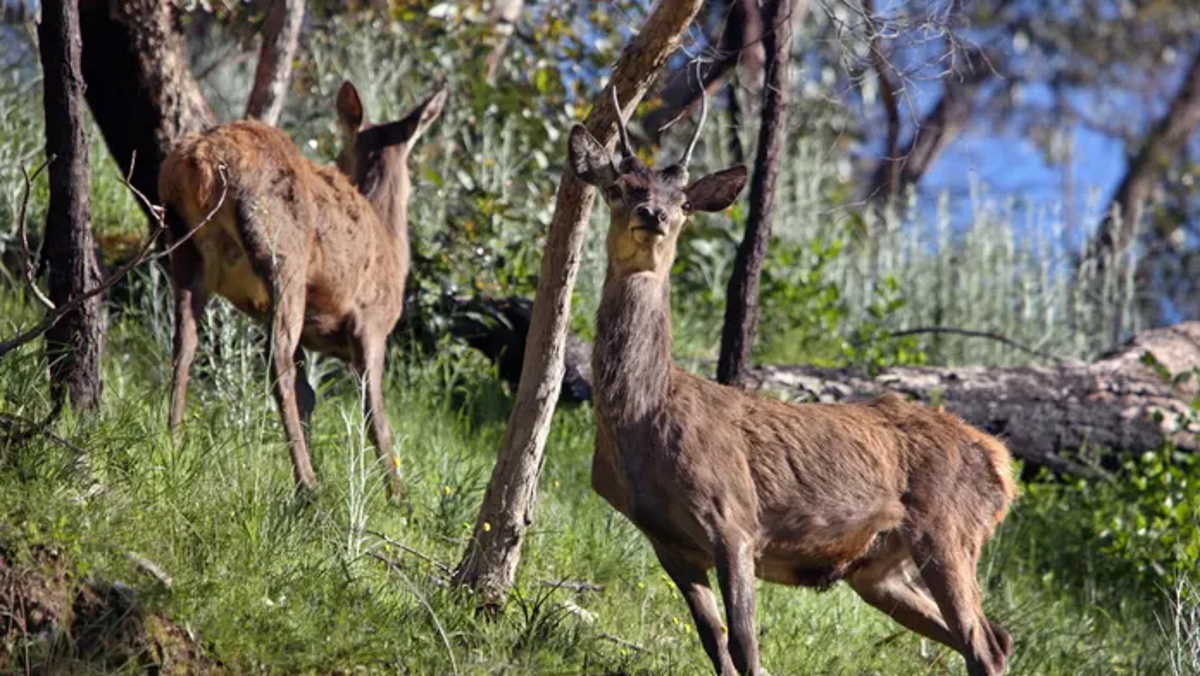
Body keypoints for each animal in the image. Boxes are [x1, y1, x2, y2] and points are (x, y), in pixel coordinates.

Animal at [158, 81, 446, 498]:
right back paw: (308, 485)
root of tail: (203, 161)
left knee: (184, 344)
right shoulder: (372, 324)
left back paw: (174, 443)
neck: (392, 241)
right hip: (283, 257)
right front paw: (398, 496)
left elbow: (308, 393)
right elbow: (374, 410)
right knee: (274, 360)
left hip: (185, 250)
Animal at [570, 90, 1018, 676]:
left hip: (949, 528)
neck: (644, 421)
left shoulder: (733, 518)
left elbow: (746, 646)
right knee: (996, 638)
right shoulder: (668, 542)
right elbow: (715, 644)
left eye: (684, 202)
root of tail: (1001, 462)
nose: (654, 215)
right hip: (880, 569)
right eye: (619, 188)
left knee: (983, 642)